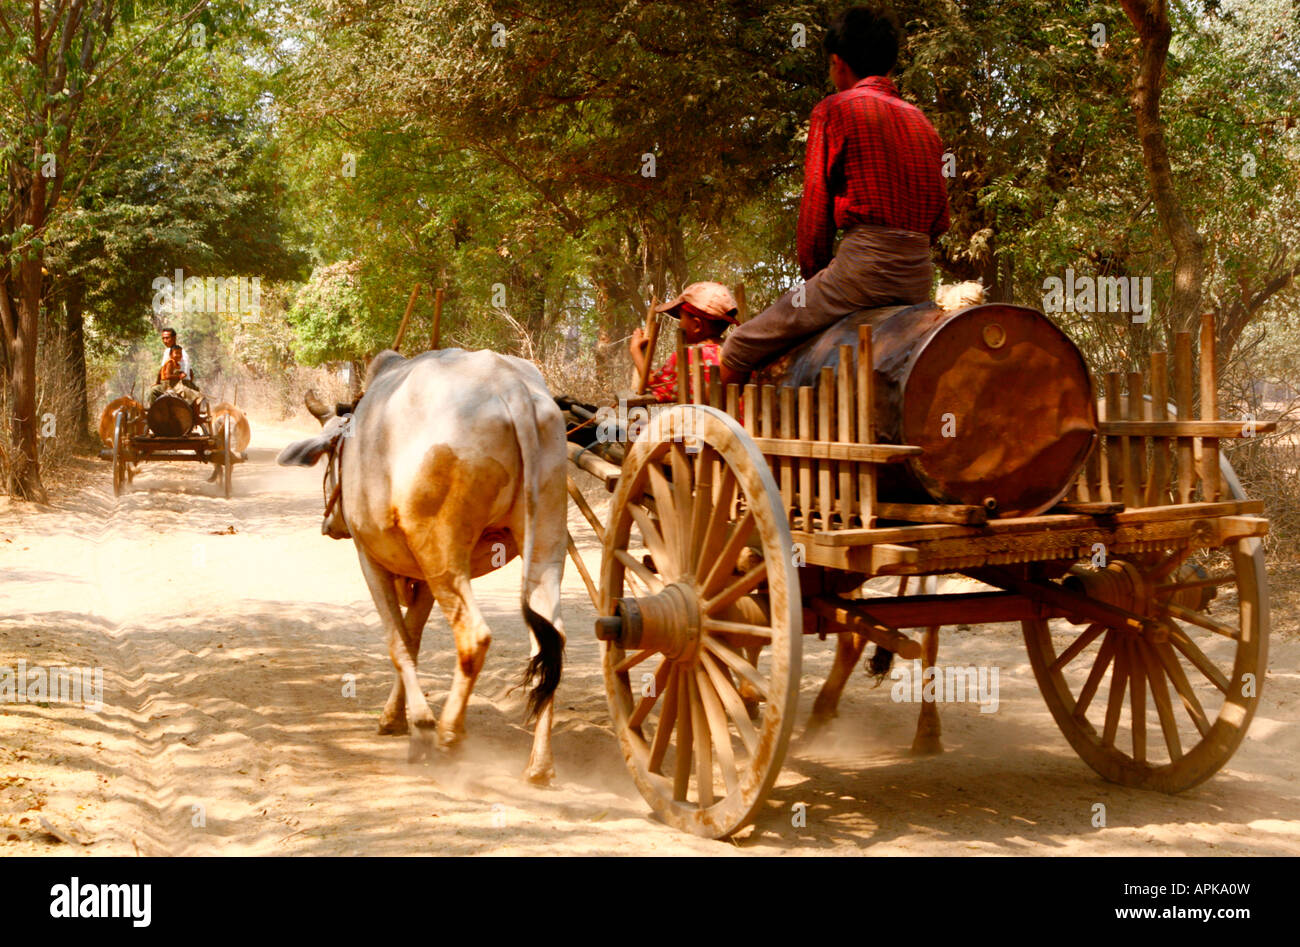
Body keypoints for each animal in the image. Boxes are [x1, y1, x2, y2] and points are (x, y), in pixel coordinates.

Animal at [278, 348, 568, 783]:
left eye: (329, 457)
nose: (330, 525)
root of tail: (509, 386)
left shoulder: (372, 559)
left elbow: (398, 642)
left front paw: (417, 724)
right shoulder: (424, 577)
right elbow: (412, 639)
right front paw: (395, 716)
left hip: (443, 551)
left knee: (475, 636)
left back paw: (448, 732)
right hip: (544, 541)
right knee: (551, 639)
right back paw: (539, 764)